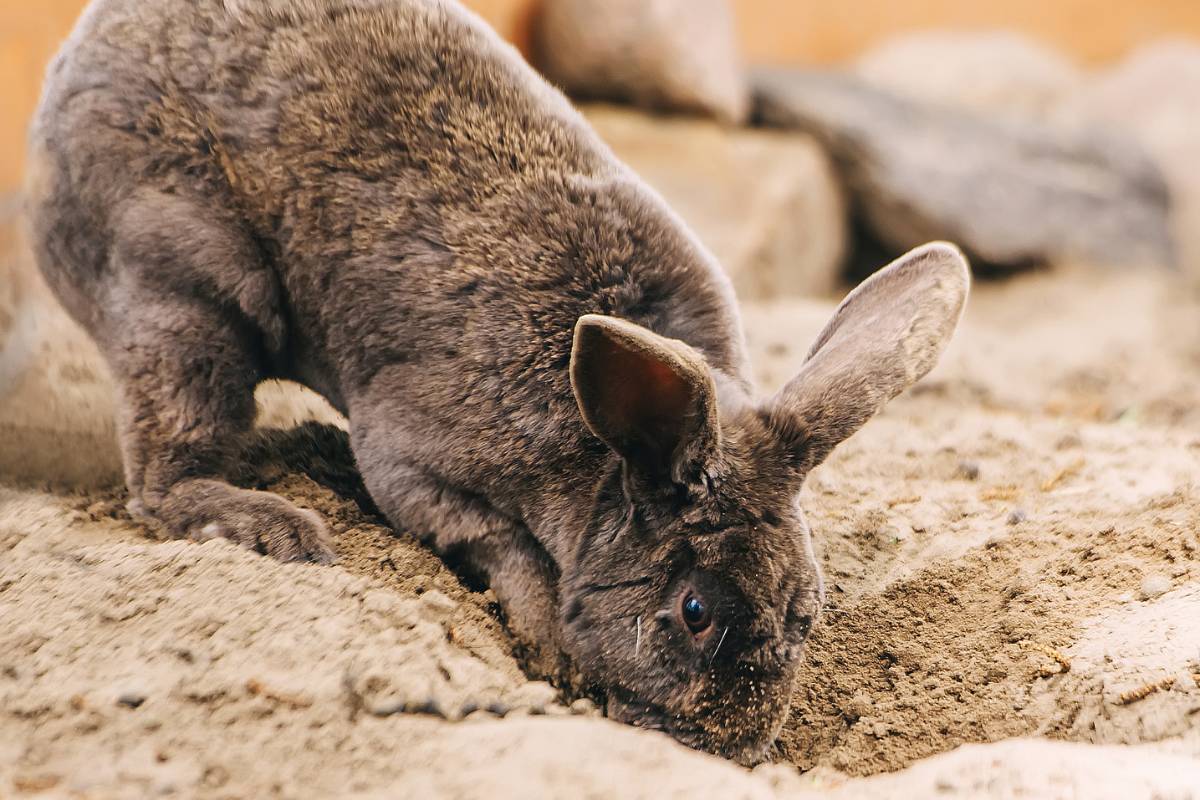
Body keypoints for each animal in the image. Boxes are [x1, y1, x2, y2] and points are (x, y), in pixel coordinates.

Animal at [26, 0, 969, 763]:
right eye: (696, 611)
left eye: (806, 608)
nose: (731, 745)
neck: (601, 467)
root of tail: (81, 51)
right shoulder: (411, 462)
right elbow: (504, 551)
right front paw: (550, 646)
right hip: (187, 293)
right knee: (164, 472)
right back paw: (273, 527)